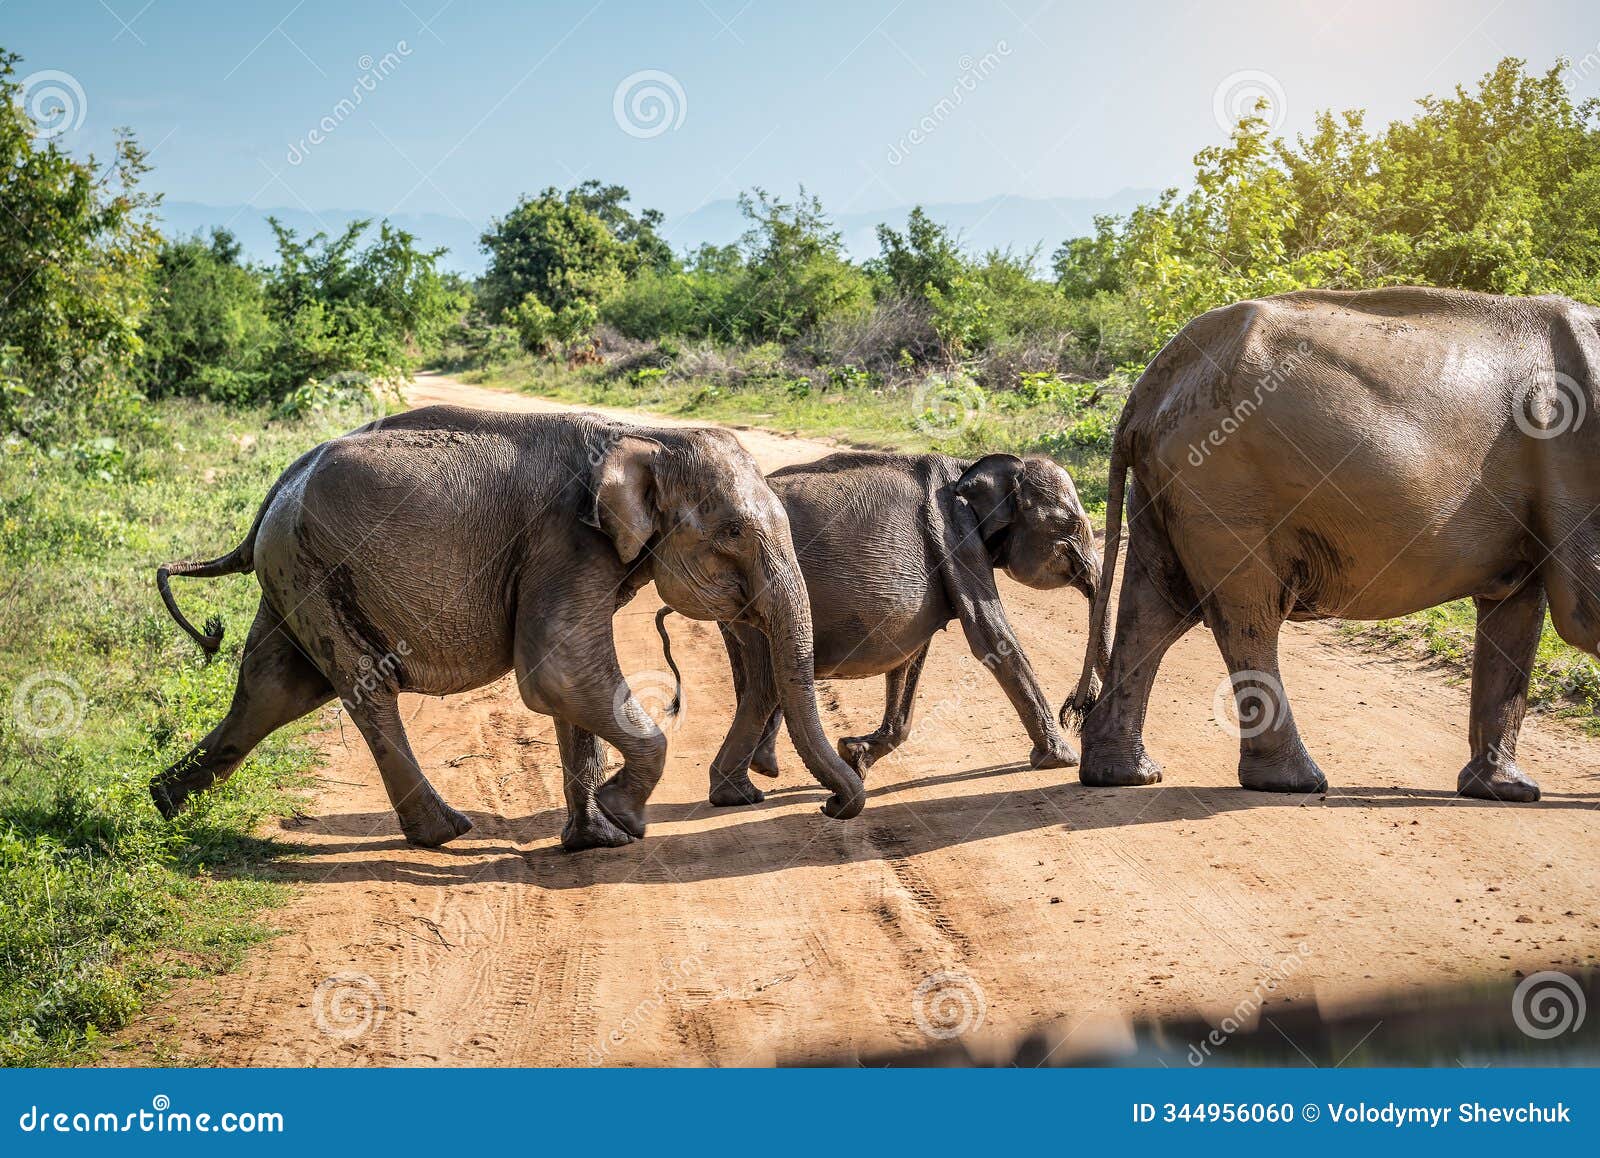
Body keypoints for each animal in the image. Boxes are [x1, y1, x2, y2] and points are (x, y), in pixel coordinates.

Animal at [151, 405, 865, 851]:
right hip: (311, 565)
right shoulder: (565, 539)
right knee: (363, 687)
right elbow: (555, 669)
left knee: (274, 689)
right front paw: (623, 819)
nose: (831, 804)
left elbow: (570, 684)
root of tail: (274, 493)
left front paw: (595, 838)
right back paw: (445, 832)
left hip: (296, 572)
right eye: (733, 534)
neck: (648, 437)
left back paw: (163, 806)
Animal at [659, 450, 1108, 807]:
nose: (1079, 707)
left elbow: (910, 657)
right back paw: (744, 788)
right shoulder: (955, 534)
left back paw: (761, 771)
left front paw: (856, 754)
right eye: (1069, 524)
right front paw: (1059, 759)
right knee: (766, 680)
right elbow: (989, 633)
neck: (969, 465)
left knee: (757, 680)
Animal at [1066, 287, 1600, 803]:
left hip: (1165, 488)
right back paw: (1295, 783)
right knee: (1245, 615)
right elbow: (1581, 614)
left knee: (1157, 611)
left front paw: (1509, 792)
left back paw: (1124, 775)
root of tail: (1146, 391)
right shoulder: (1573, 456)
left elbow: (1518, 612)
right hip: (1225, 485)